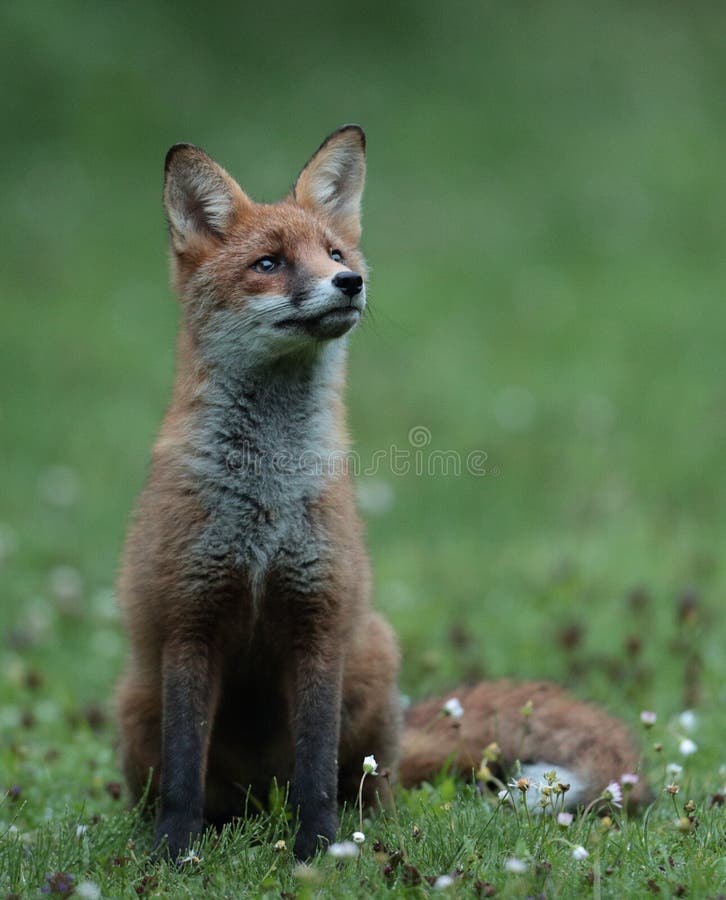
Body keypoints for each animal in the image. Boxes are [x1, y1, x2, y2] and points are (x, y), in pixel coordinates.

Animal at [116, 125, 648, 861]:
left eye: (335, 254)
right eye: (269, 263)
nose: (351, 283)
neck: (266, 502)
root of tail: (256, 799)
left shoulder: (320, 619)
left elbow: (315, 771)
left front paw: (319, 853)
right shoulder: (188, 621)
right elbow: (182, 775)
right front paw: (172, 855)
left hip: (370, 667)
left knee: (369, 784)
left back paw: (364, 825)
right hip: (137, 699)